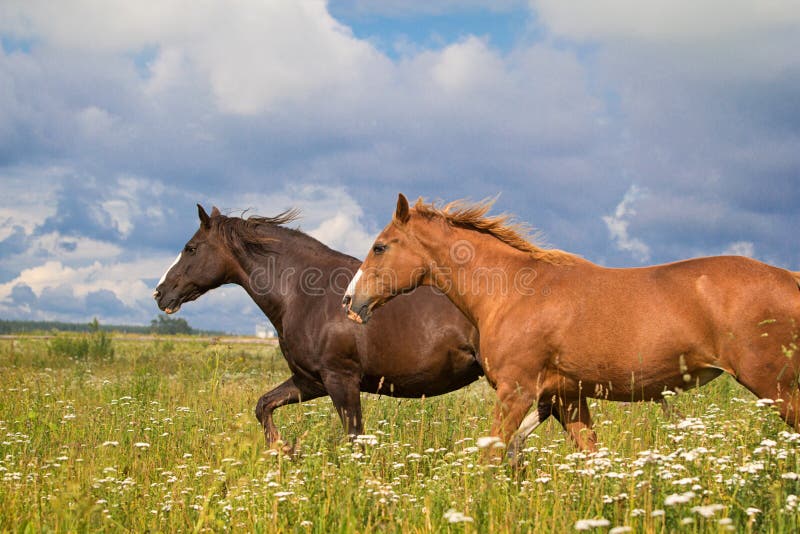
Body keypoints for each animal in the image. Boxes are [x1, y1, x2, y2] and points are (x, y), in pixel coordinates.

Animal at [154, 204, 483, 447]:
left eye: (191, 248)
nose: (160, 293)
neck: (304, 295)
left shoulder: (340, 379)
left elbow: (354, 438)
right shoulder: (311, 381)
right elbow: (263, 405)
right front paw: (284, 449)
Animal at [343, 193, 800, 464]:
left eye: (380, 246)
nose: (350, 301)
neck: (514, 293)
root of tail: (791, 278)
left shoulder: (516, 391)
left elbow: (492, 455)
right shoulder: (567, 398)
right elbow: (591, 457)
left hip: (774, 384)